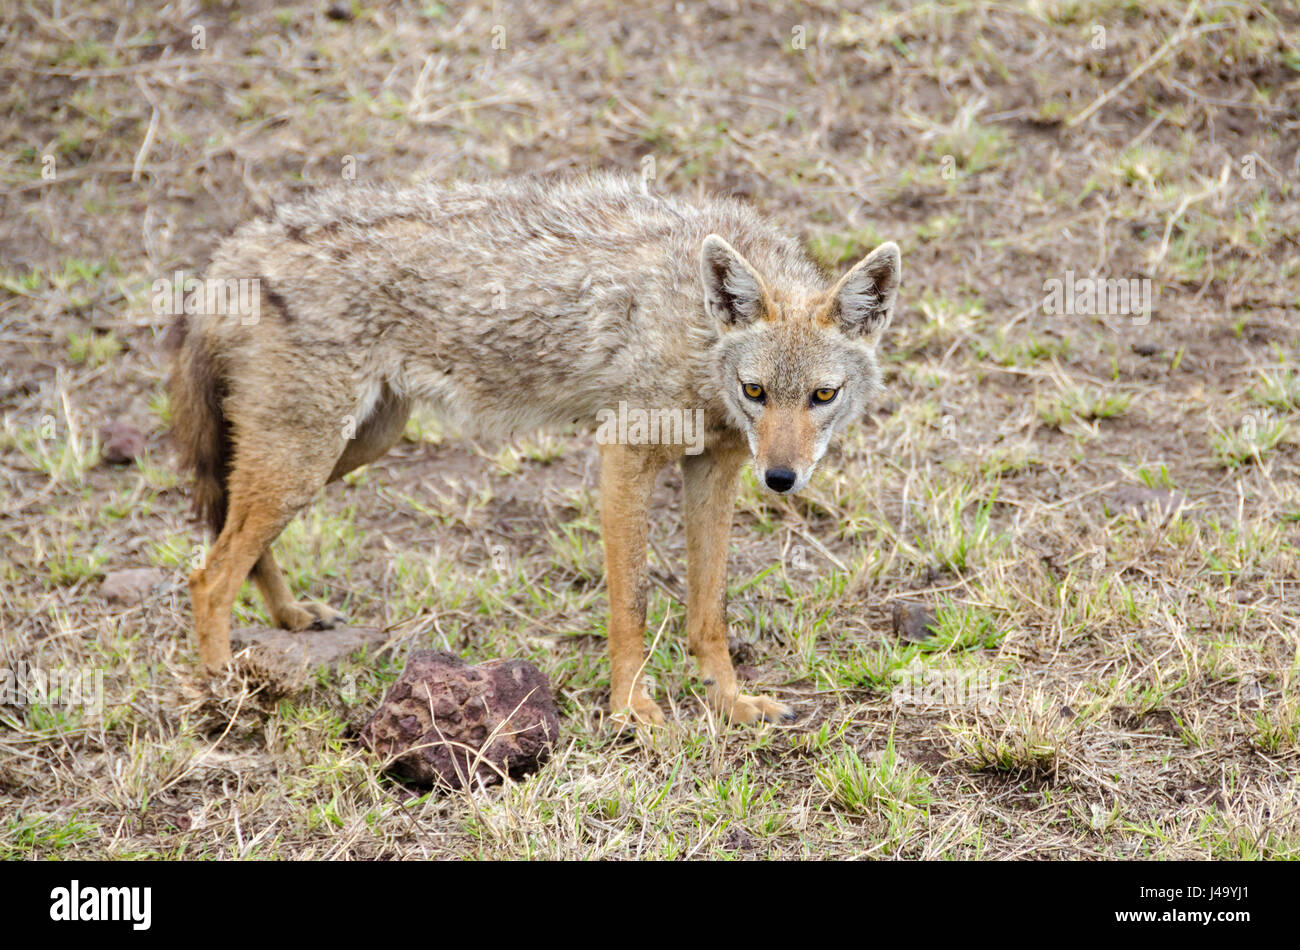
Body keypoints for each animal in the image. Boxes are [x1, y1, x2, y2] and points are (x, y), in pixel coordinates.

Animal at [167, 172, 900, 726]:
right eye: (756, 390)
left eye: (823, 396)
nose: (781, 478)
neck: (693, 327)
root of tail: (237, 247)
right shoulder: (624, 456)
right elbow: (631, 604)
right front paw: (632, 712)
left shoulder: (714, 469)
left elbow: (707, 611)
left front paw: (731, 702)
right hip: (306, 459)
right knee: (208, 575)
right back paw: (225, 694)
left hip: (347, 448)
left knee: (231, 535)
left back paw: (290, 617)